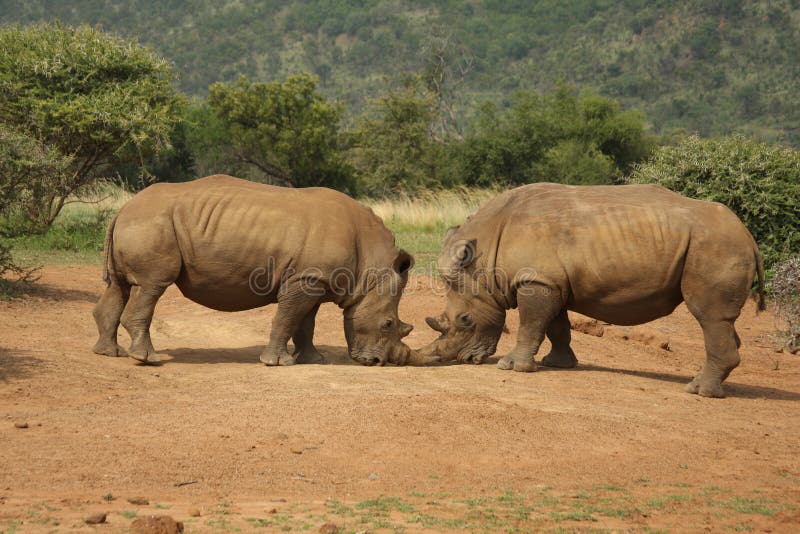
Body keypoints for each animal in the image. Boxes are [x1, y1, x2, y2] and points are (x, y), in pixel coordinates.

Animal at [93, 174, 430, 367]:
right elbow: (287, 319)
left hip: (142, 222)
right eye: (388, 324)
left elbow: (305, 324)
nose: (377, 362)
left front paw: (314, 360)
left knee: (119, 287)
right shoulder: (306, 280)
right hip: (152, 224)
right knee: (151, 286)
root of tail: (124, 208)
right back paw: (147, 359)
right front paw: (277, 363)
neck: (371, 266)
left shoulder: (312, 279)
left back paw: (109, 353)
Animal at [415, 183, 765, 398]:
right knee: (721, 321)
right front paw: (557, 364)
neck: (485, 253)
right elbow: (555, 326)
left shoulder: (537, 280)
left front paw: (512, 367)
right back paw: (713, 385)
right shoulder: (551, 281)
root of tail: (749, 236)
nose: (462, 359)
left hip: (716, 245)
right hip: (715, 244)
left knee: (709, 317)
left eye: (464, 321)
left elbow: (530, 324)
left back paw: (697, 391)